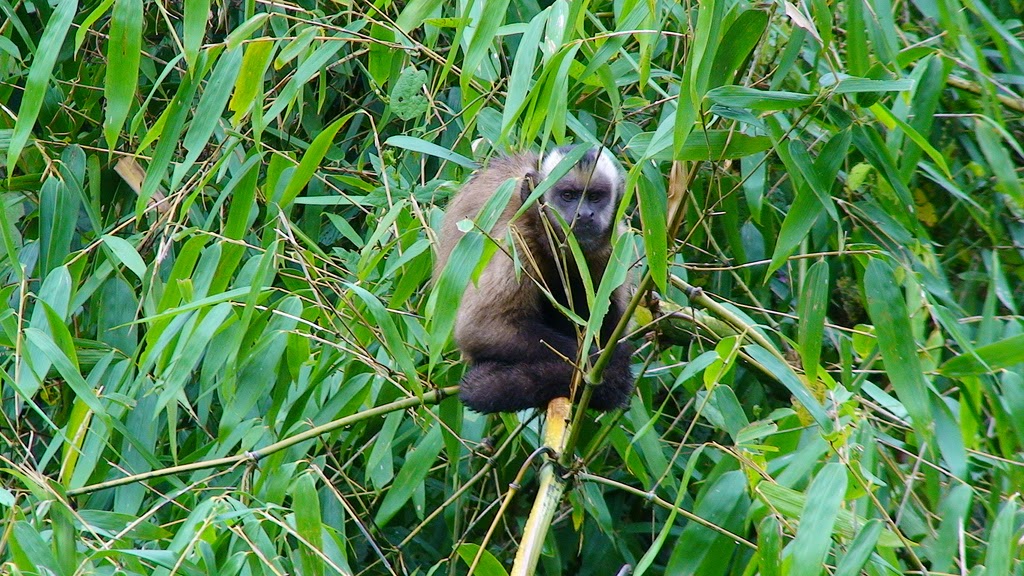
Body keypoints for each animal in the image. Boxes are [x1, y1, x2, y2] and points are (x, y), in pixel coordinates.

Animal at [434, 146, 636, 413]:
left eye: (595, 196)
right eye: (568, 195)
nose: (584, 214)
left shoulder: (614, 245)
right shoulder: (515, 241)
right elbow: (480, 328)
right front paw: (597, 360)